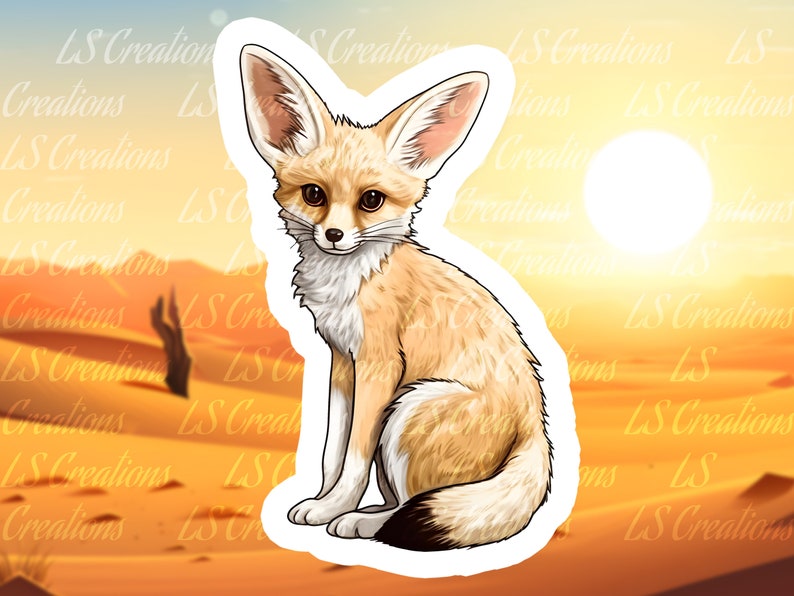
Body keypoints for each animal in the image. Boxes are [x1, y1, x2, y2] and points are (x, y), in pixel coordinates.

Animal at [238, 43, 552, 551]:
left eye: (371, 200)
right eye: (313, 194)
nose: (334, 236)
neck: (350, 282)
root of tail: (536, 432)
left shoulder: (380, 363)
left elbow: (353, 458)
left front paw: (332, 509)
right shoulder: (343, 362)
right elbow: (333, 452)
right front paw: (320, 502)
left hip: (410, 407)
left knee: (416, 502)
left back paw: (364, 524)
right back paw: (368, 514)